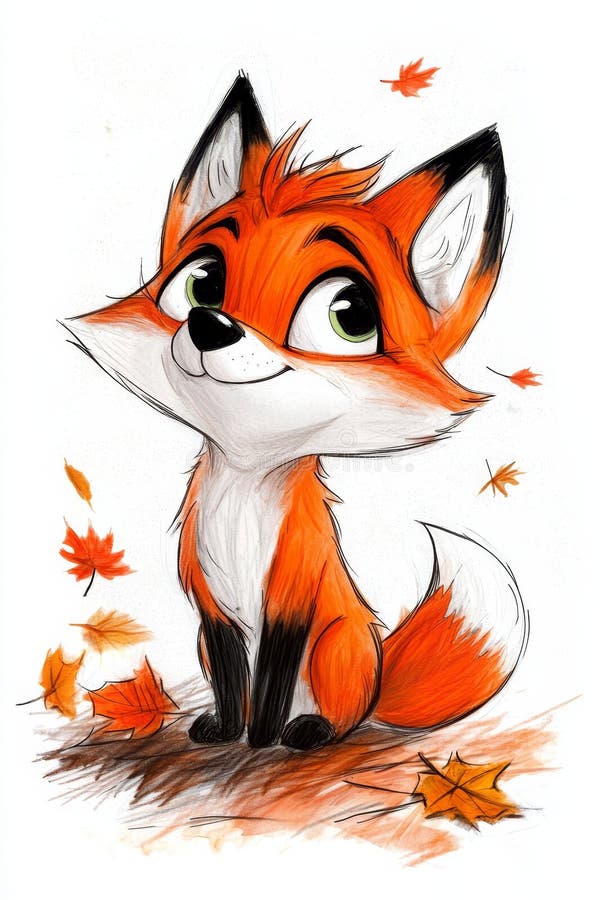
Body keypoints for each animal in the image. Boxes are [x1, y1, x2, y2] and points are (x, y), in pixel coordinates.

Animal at [64, 75, 527, 751]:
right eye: (202, 282)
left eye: (349, 315)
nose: (210, 325)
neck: (244, 496)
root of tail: (381, 680)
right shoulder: (210, 608)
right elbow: (235, 680)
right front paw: (228, 732)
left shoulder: (292, 600)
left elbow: (272, 682)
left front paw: (262, 739)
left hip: (338, 645)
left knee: (340, 714)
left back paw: (309, 730)